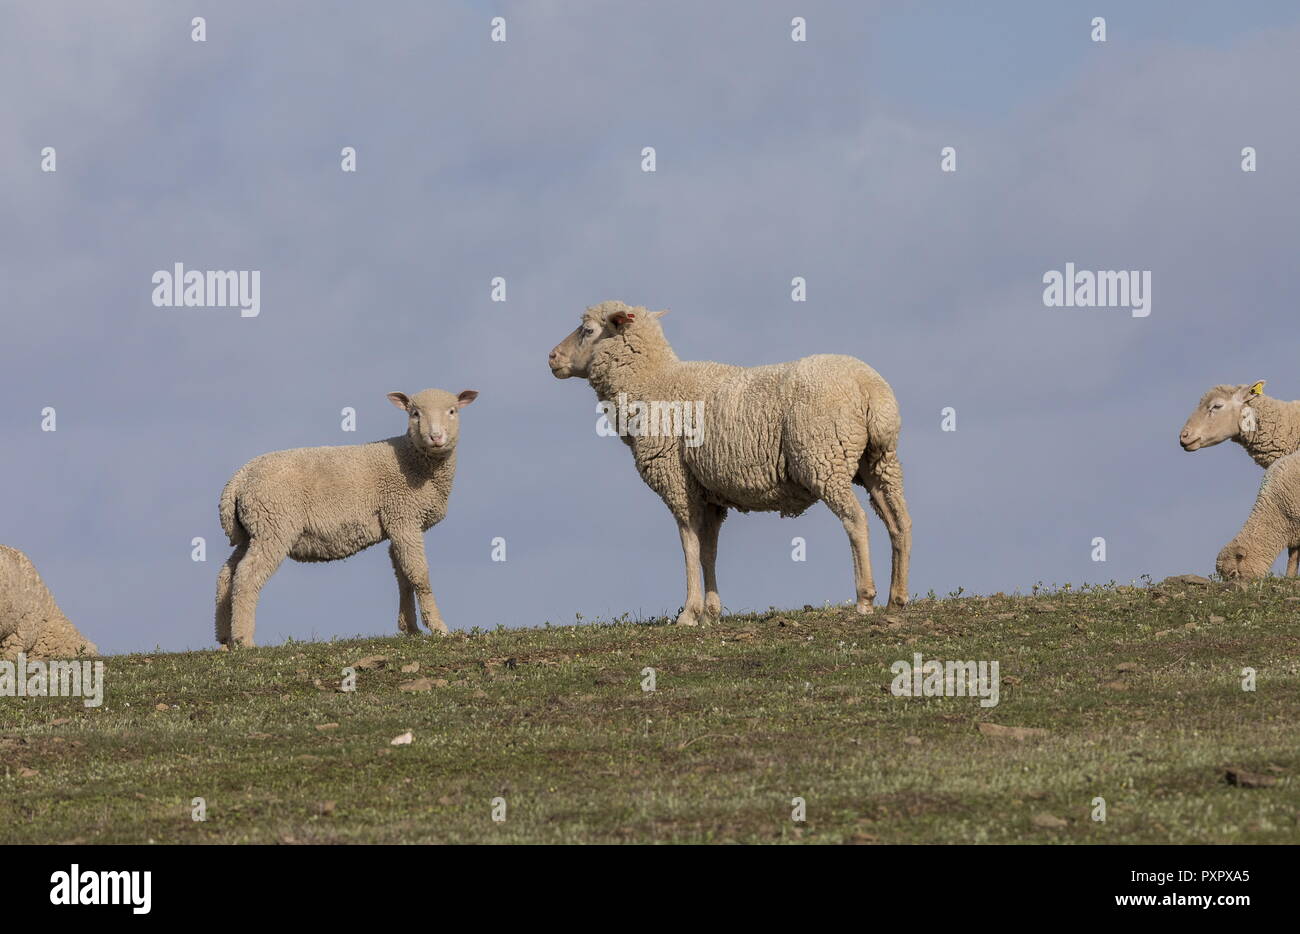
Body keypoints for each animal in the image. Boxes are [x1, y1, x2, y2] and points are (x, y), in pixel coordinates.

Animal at [215, 388, 478, 648]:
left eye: (452, 411)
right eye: (415, 414)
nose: (436, 437)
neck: (413, 460)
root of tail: (239, 479)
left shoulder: (398, 522)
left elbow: (403, 575)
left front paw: (410, 628)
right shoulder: (403, 515)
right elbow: (419, 574)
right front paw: (438, 627)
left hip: (251, 530)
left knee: (228, 573)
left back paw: (225, 637)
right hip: (273, 525)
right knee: (247, 575)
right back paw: (244, 640)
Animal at [548, 300, 911, 625]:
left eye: (588, 330)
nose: (552, 357)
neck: (651, 385)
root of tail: (870, 388)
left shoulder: (678, 483)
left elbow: (689, 546)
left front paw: (689, 613)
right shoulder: (710, 495)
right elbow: (709, 550)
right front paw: (711, 611)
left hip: (825, 458)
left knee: (856, 520)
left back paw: (865, 599)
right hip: (878, 461)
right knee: (898, 521)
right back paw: (897, 598)